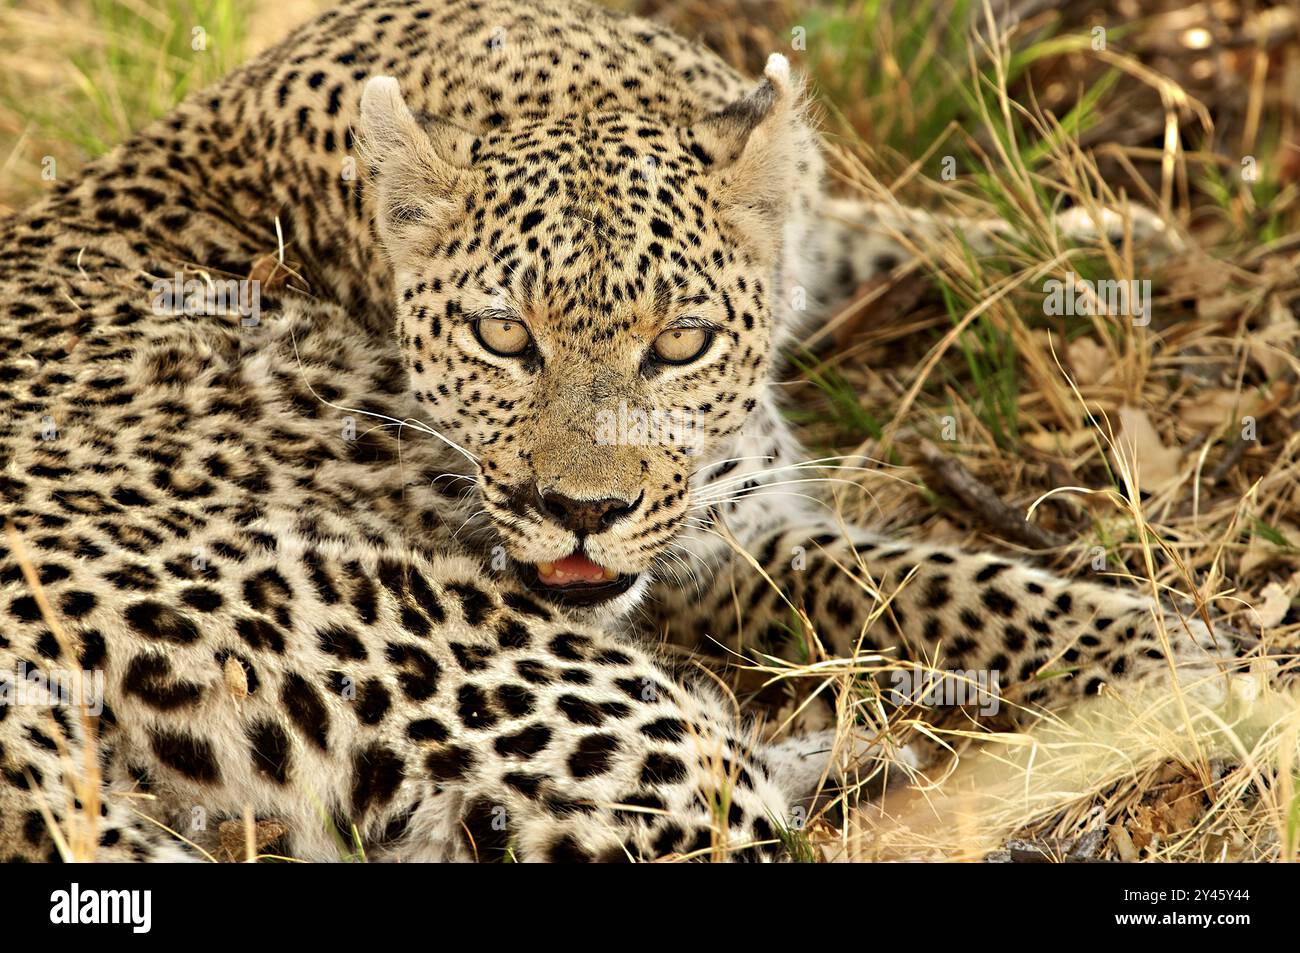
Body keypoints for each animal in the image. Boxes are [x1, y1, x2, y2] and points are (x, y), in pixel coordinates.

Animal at [0, 0, 1237, 863]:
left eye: (681, 340)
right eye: (501, 334)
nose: (579, 512)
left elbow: (863, 235)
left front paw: (1101, 241)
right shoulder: (717, 548)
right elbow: (950, 582)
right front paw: (1169, 655)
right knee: (732, 817)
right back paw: (880, 762)